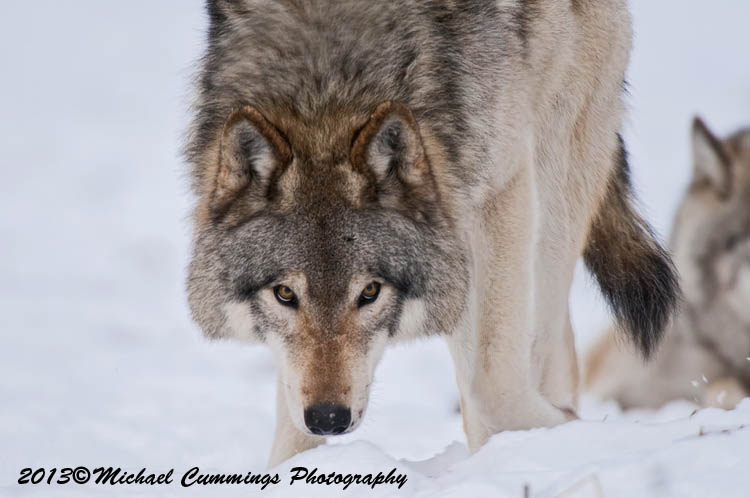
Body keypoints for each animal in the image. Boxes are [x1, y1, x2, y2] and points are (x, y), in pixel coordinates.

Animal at [184, 0, 678, 467]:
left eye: (370, 292)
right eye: (285, 294)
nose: (328, 417)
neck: (326, 94)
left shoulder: (502, 187)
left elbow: (490, 384)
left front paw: (567, 431)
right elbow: (291, 404)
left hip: (549, 183)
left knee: (547, 345)